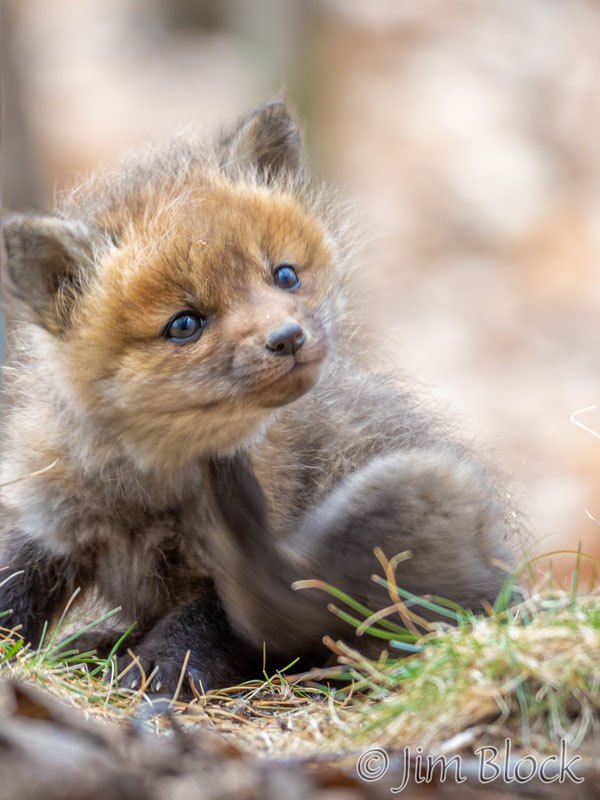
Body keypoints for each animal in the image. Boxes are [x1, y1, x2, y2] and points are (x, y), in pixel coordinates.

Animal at [0, 100, 516, 695]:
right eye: (185, 324)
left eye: (285, 275)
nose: (287, 338)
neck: (146, 483)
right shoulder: (49, 516)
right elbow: (13, 585)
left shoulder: (253, 533)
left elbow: (205, 620)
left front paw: (156, 670)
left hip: (402, 488)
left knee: (306, 613)